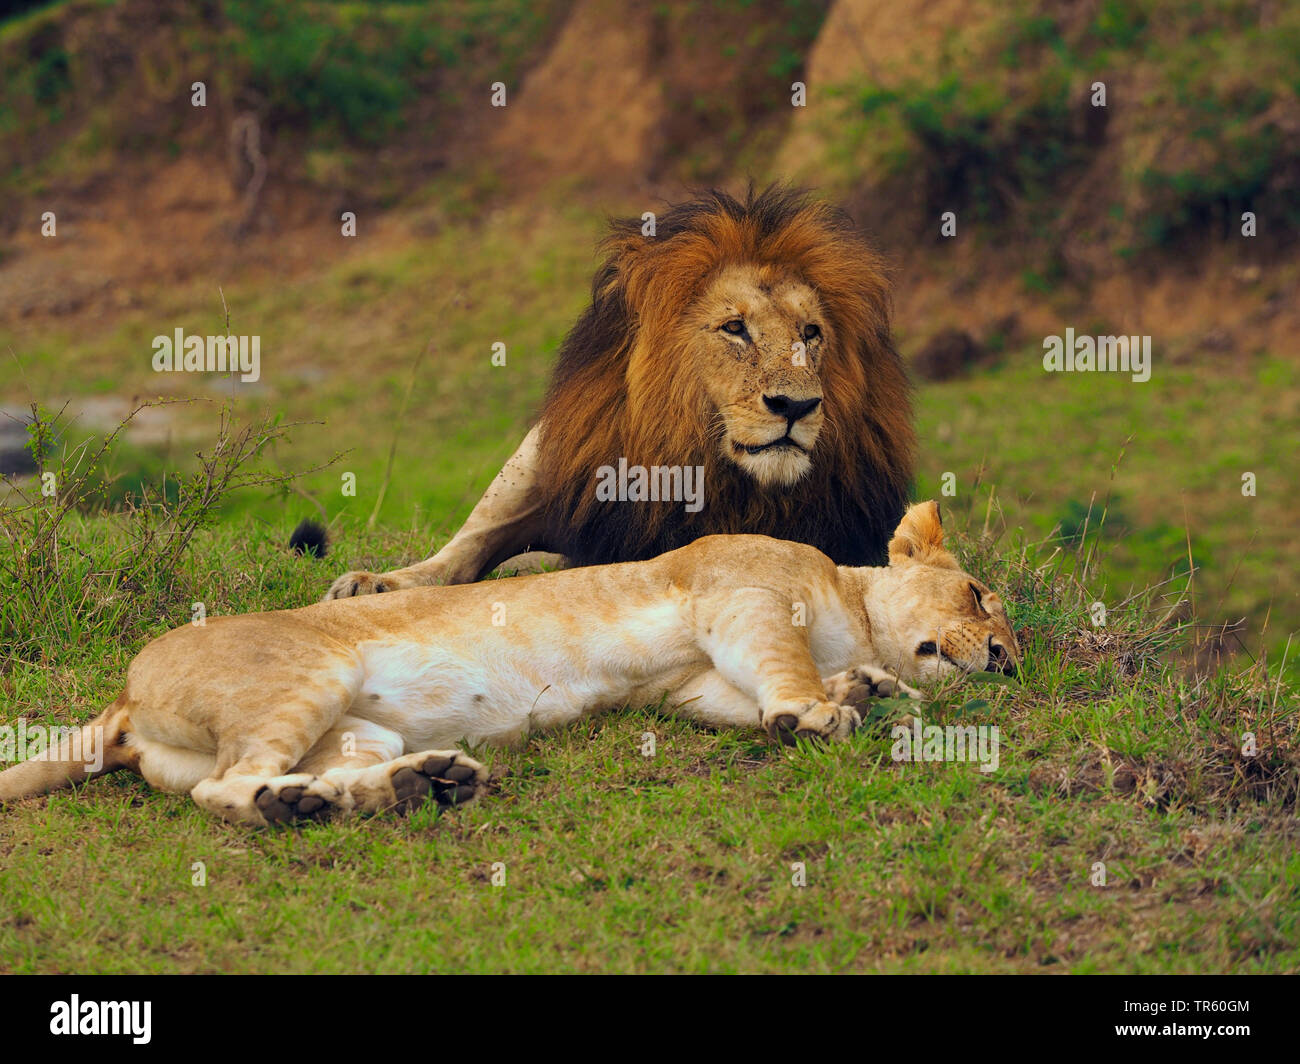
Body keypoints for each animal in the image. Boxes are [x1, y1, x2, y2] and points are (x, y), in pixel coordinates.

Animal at [0, 503, 1018, 827]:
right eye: (980, 597)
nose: (1008, 659)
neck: (852, 605)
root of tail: (122, 698)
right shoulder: (740, 595)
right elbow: (787, 669)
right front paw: (826, 708)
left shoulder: (696, 683)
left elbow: (749, 701)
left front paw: (863, 691)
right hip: (301, 682)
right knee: (225, 789)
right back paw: (296, 806)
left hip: (354, 732)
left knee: (324, 775)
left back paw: (415, 785)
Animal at [325, 184, 914, 599]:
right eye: (735, 328)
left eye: (810, 334)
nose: (797, 406)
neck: (733, 482)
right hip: (529, 467)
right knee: (463, 551)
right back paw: (370, 584)